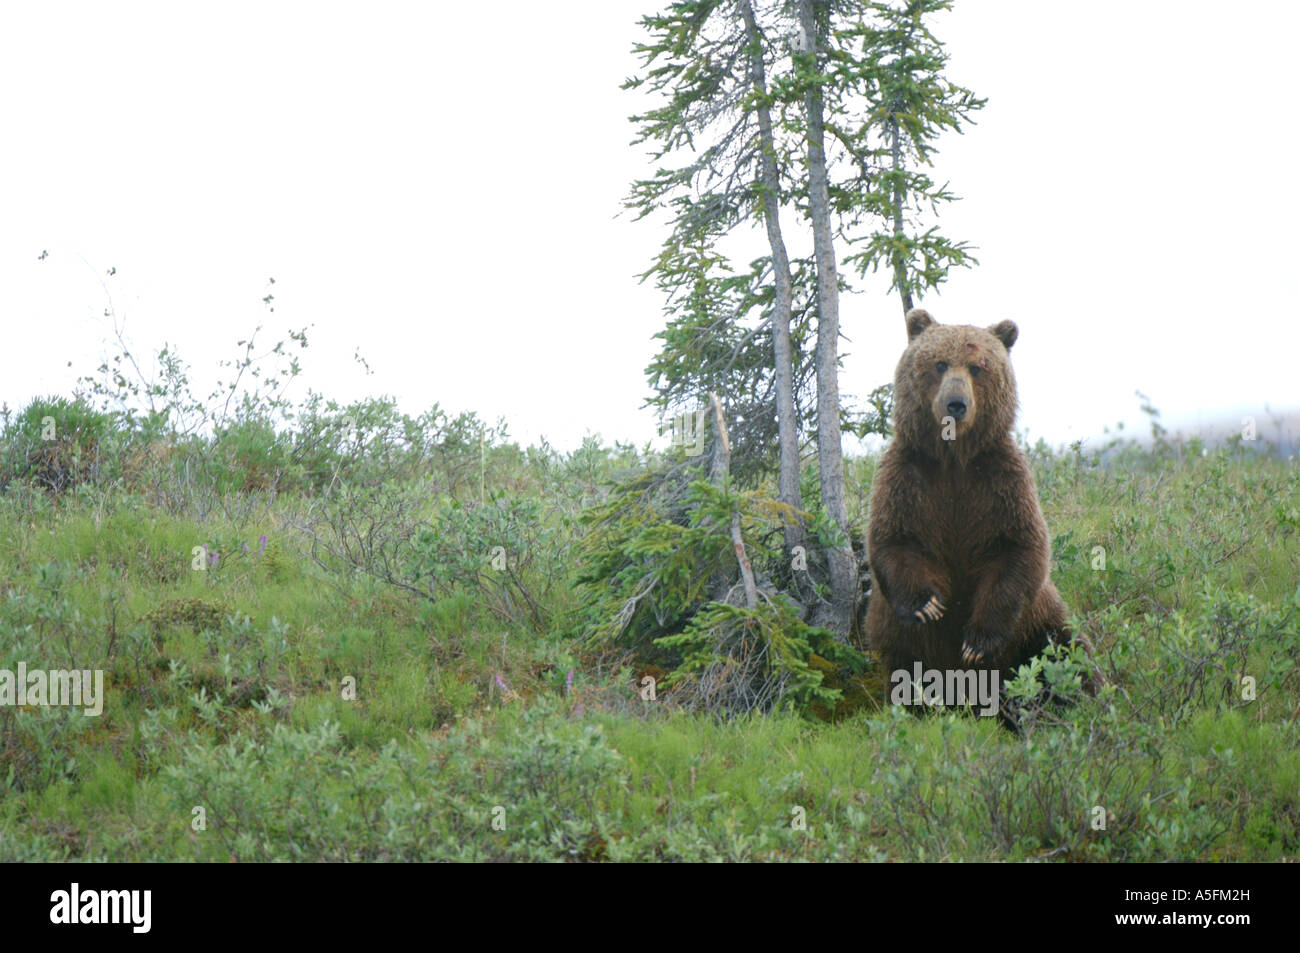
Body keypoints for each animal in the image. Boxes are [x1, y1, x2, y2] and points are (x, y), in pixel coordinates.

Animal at [865, 308, 1082, 705]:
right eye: (939, 363)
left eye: (978, 366)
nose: (956, 404)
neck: (954, 459)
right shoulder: (907, 478)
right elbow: (893, 540)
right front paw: (927, 604)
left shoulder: (1000, 483)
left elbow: (1021, 548)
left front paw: (976, 643)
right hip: (903, 649)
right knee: (908, 680)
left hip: (1037, 625)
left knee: (1067, 653)